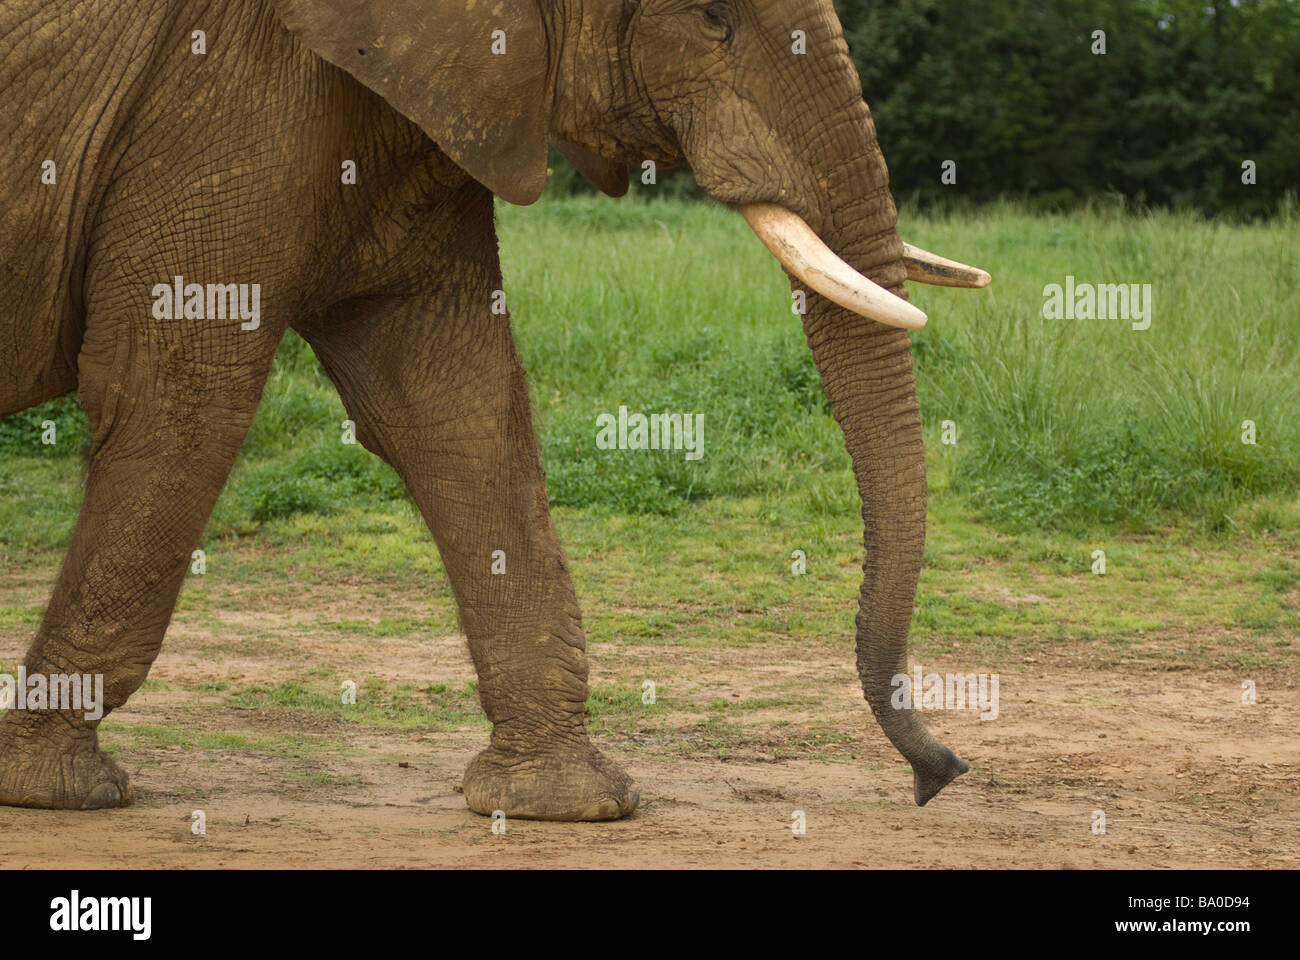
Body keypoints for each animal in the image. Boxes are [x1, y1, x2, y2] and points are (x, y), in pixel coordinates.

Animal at [0, 0, 990, 819]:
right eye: (712, 15)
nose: (938, 775)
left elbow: (454, 401)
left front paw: (559, 803)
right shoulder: (213, 96)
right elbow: (178, 392)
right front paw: (58, 791)